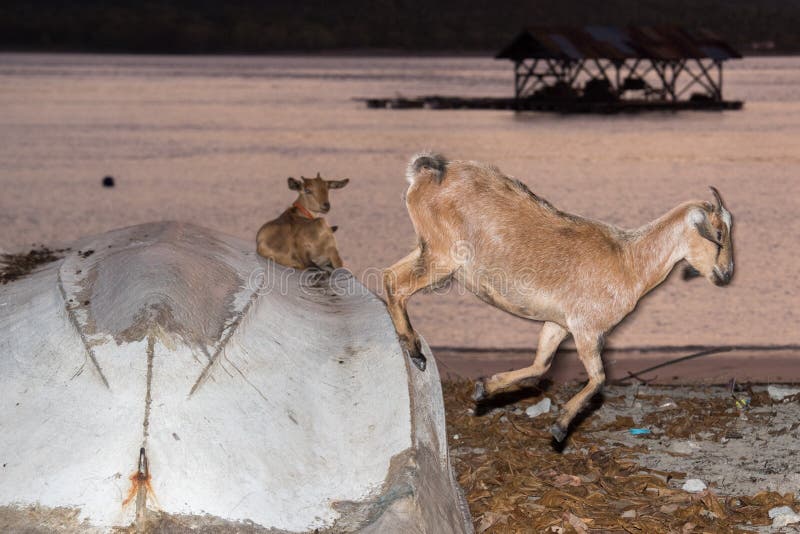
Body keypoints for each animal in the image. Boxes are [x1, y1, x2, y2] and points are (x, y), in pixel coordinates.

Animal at [383, 153, 734, 442]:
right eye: (718, 235)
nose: (727, 273)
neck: (629, 261)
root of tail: (427, 171)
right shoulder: (587, 329)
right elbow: (599, 378)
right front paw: (560, 427)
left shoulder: (558, 323)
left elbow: (541, 364)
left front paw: (485, 388)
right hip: (443, 255)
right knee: (395, 284)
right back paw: (415, 351)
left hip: (427, 247)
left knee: (388, 275)